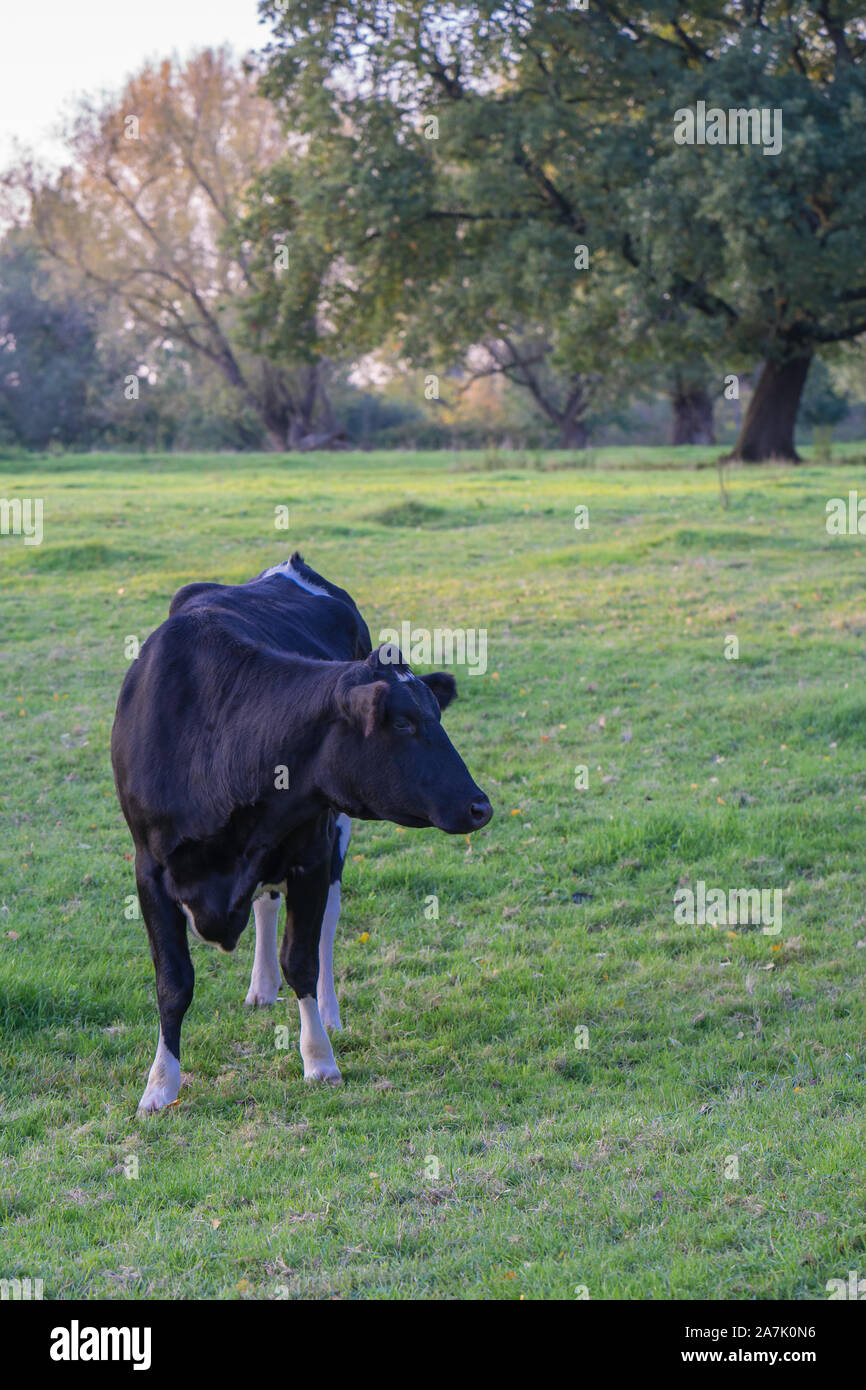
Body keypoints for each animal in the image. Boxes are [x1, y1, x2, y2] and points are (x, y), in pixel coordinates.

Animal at [111, 553, 492, 1112]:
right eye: (402, 724)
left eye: (436, 715)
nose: (479, 805)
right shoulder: (149, 869)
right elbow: (173, 983)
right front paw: (160, 1085)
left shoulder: (311, 852)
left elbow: (303, 960)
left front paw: (319, 1058)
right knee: (268, 903)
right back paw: (261, 987)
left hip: (338, 833)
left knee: (328, 922)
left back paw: (328, 1014)